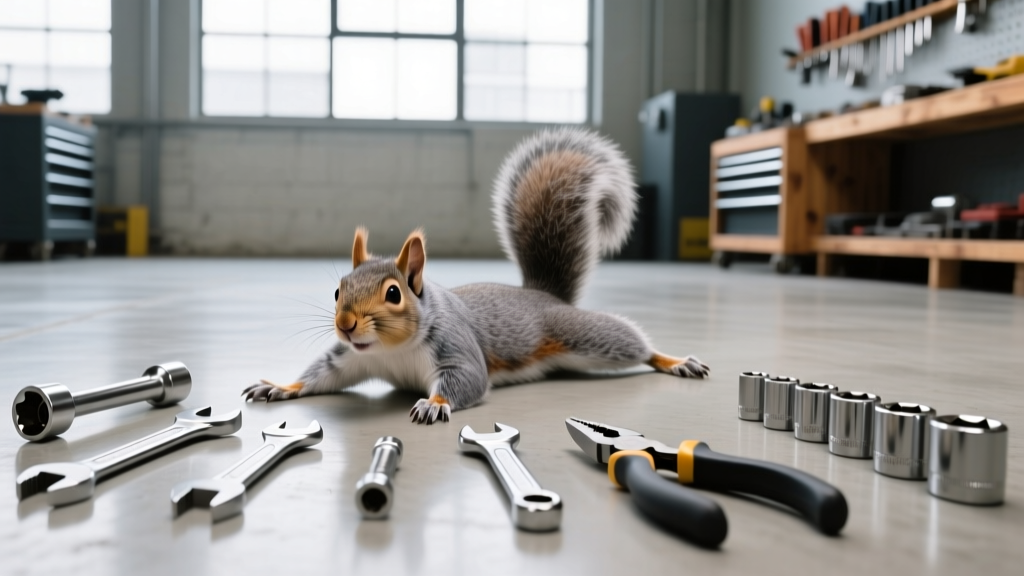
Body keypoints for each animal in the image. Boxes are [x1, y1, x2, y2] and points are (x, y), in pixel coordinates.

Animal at [243, 127, 709, 424]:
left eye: (394, 293)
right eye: (338, 290)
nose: (345, 324)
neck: (390, 351)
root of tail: (544, 295)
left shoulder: (455, 347)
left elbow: (468, 378)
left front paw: (434, 404)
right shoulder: (349, 359)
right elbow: (320, 374)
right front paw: (280, 386)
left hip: (582, 334)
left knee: (631, 344)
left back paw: (674, 361)